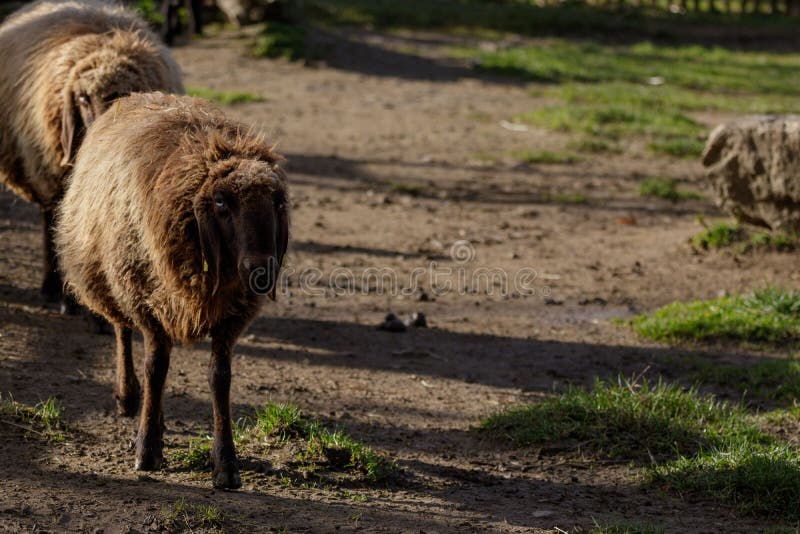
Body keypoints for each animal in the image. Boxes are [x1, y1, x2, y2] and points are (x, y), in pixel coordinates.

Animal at [0, 0, 184, 307]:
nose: (97, 131)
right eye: (83, 97)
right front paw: (70, 301)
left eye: (120, 94)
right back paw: (52, 287)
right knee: (51, 226)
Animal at [56, 91, 289, 489]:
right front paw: (146, 449)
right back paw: (129, 398)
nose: (262, 271)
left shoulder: (232, 314)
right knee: (122, 331)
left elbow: (219, 378)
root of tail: (145, 95)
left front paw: (225, 463)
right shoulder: (147, 300)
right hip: (112, 276)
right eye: (221, 203)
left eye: (277, 203)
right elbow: (155, 367)